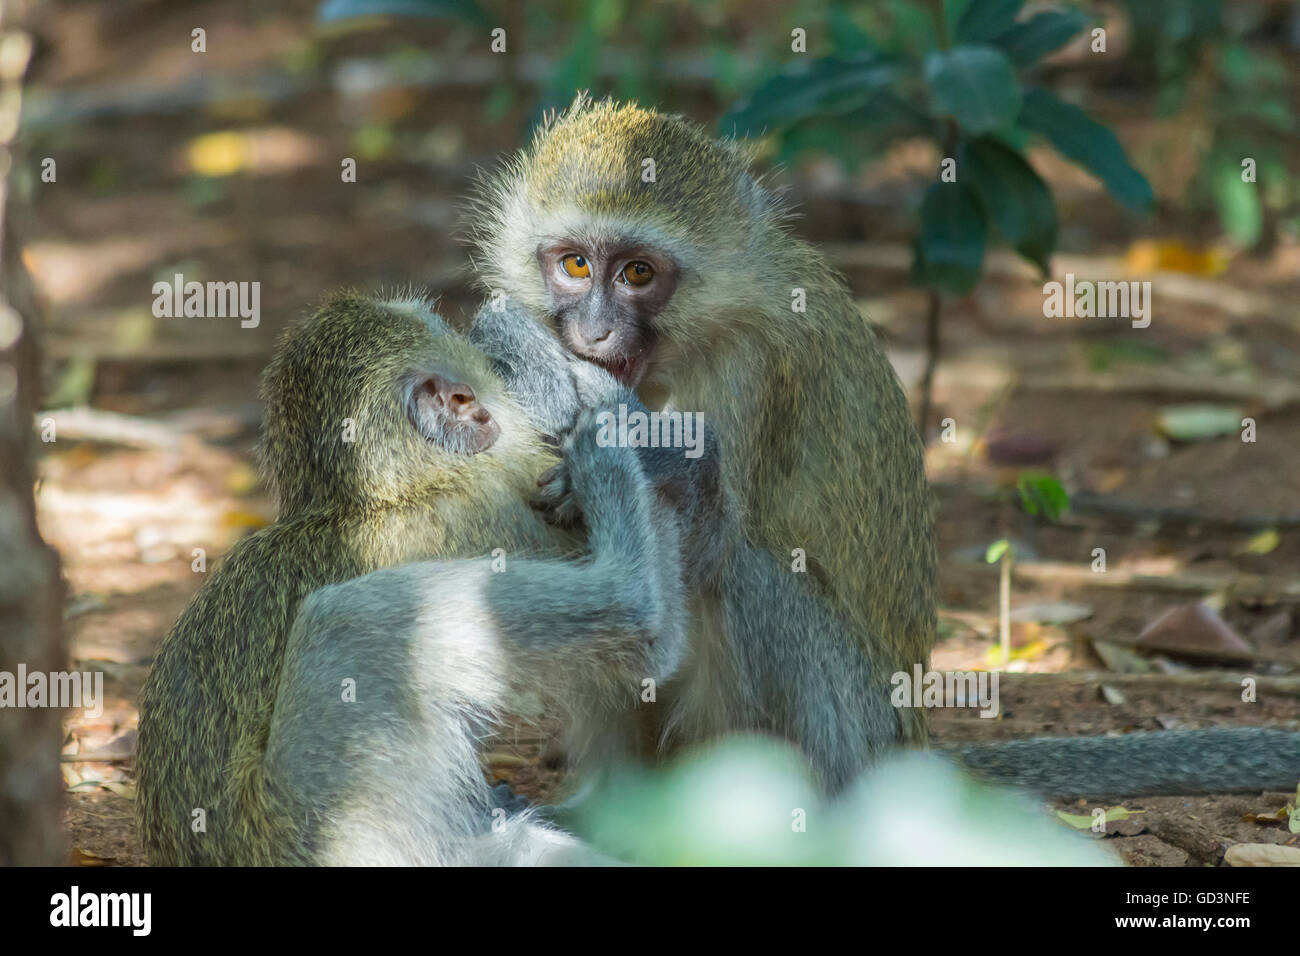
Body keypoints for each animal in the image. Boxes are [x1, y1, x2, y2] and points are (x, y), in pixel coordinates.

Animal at [466, 96, 1300, 800]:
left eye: (638, 273)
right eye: (576, 265)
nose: (595, 333)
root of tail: (906, 751)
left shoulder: (759, 371)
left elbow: (705, 551)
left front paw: (655, 454)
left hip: (854, 725)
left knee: (753, 575)